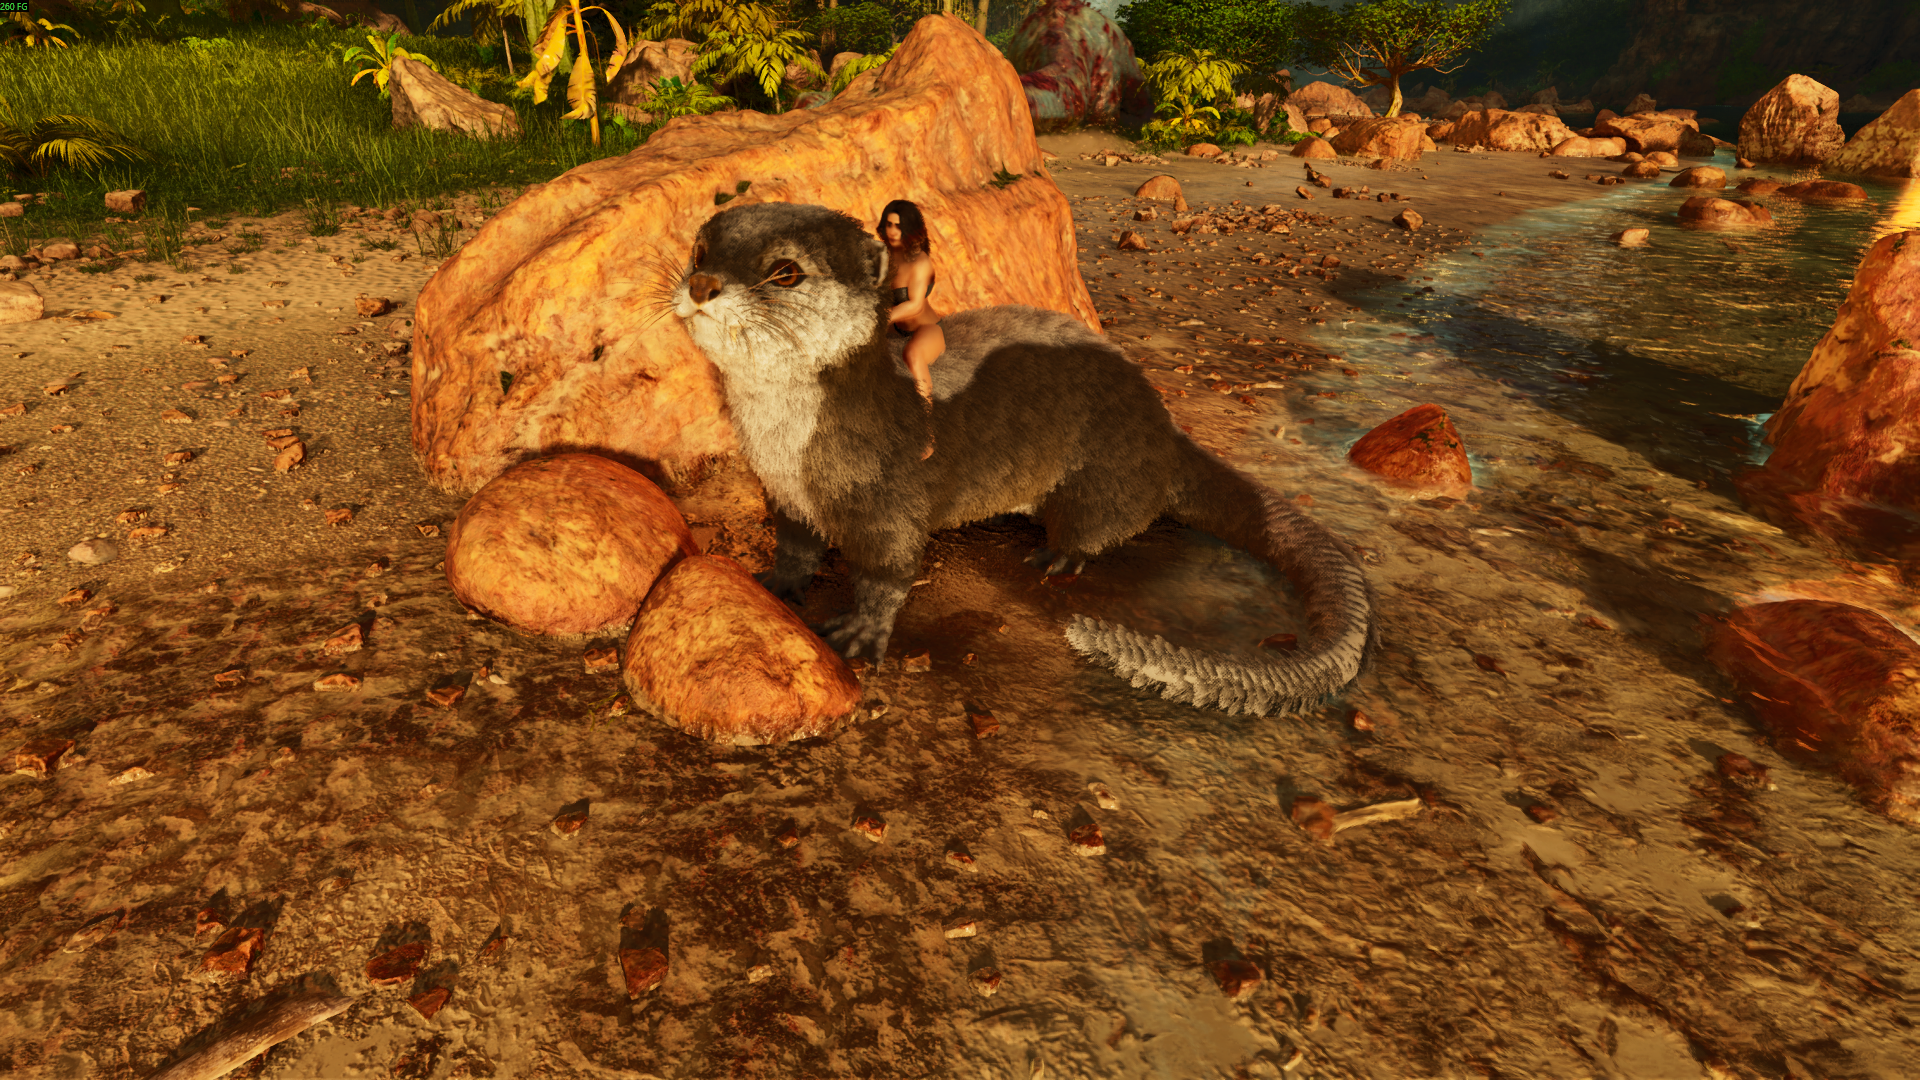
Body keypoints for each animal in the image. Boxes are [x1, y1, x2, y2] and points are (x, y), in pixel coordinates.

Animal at [670, 201, 1380, 716]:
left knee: (1102, 521)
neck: (791, 446)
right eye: (700, 252)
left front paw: (859, 634)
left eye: (785, 271)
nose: (702, 284)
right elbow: (795, 547)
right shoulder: (782, 491)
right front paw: (776, 583)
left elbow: (889, 569)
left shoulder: (887, 495)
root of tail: (1164, 426)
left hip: (1107, 466)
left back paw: (1056, 555)